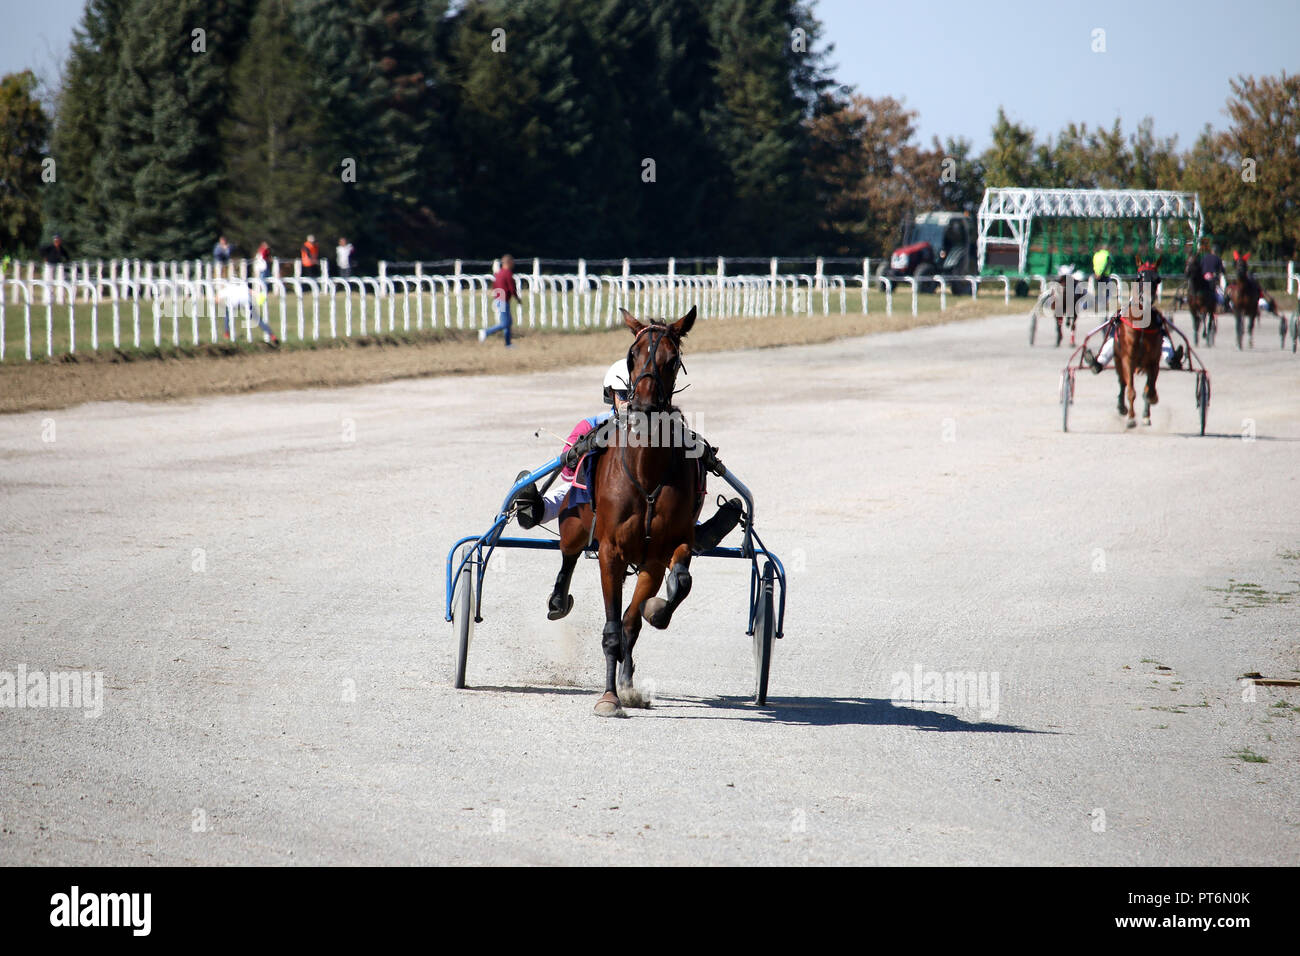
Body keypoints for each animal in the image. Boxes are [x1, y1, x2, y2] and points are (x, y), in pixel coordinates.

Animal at [548, 307, 703, 717]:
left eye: (672, 360)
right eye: (632, 355)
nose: (644, 408)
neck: (646, 471)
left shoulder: (660, 552)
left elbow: (641, 615)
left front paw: (655, 613)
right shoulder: (611, 552)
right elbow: (612, 629)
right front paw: (608, 697)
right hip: (574, 520)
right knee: (568, 552)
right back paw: (558, 600)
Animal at [1114, 260, 1166, 429]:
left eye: (1158, 279)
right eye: (1139, 277)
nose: (1147, 299)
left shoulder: (1153, 362)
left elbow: (1149, 389)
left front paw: (1150, 405)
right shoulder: (1128, 360)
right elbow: (1130, 390)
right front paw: (1131, 418)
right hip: (1118, 359)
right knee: (1122, 382)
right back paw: (1122, 407)